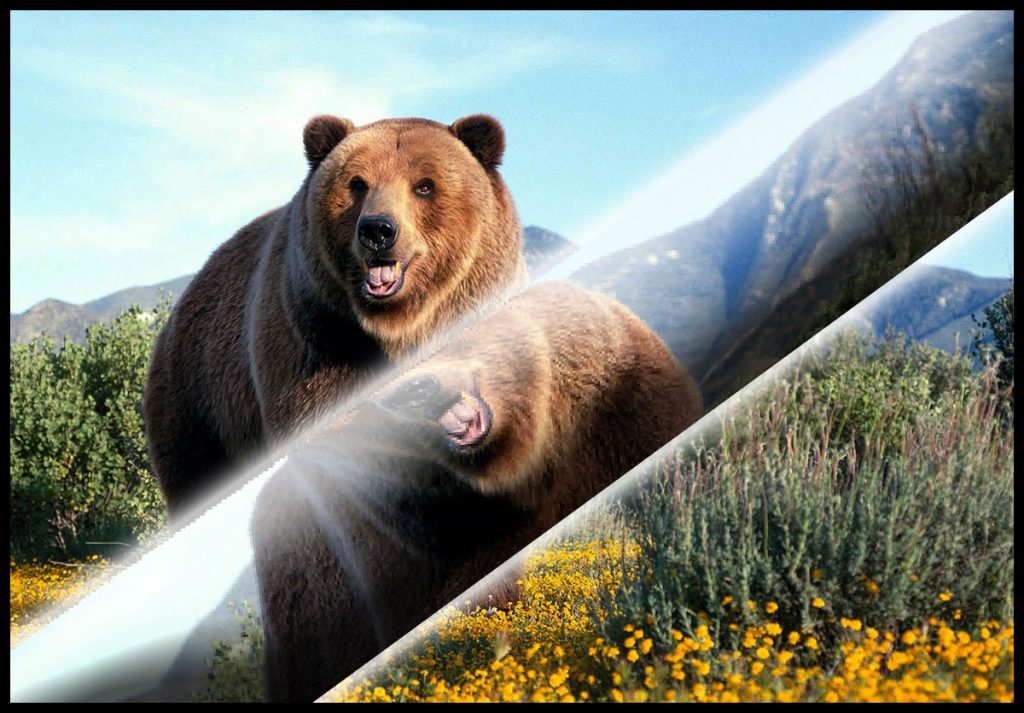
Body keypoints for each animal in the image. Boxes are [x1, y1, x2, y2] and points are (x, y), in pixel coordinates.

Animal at [143, 114, 528, 518]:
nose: (377, 230)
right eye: (357, 183)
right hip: (198, 407)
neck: (396, 327)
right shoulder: (318, 346)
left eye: (425, 185)